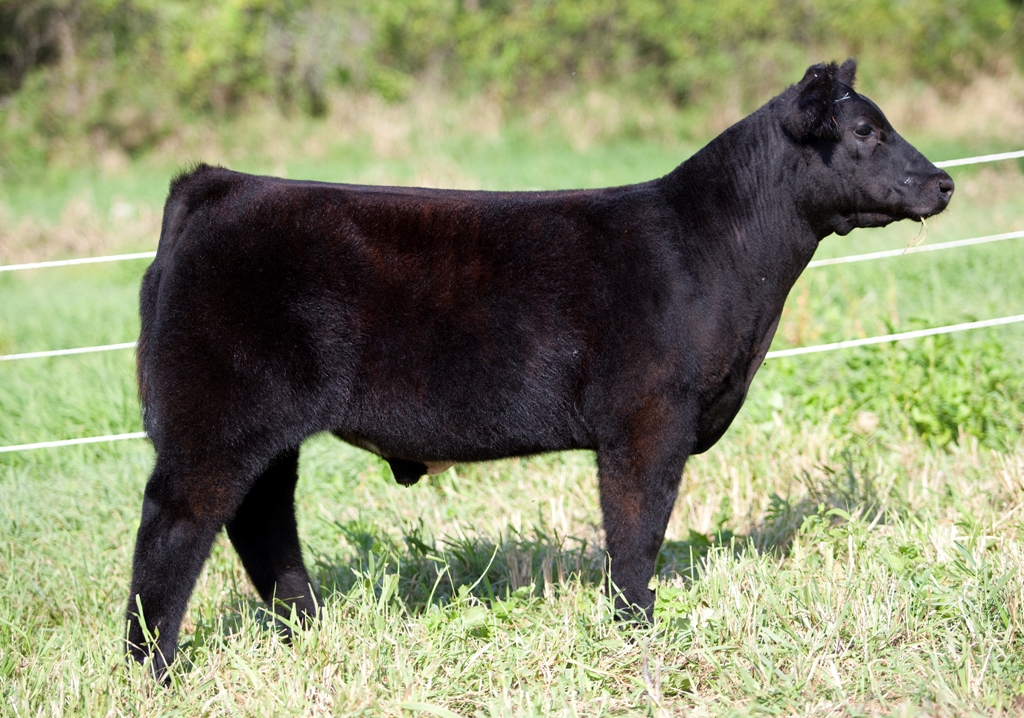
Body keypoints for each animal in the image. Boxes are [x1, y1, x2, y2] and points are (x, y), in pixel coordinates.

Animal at [125, 60, 953, 676]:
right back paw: (151, 666)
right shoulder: (648, 421)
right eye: (866, 130)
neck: (716, 254)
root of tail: (219, 183)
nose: (943, 182)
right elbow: (636, 533)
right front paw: (635, 631)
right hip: (215, 418)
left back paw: (306, 629)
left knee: (262, 519)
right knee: (177, 523)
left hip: (266, 433)